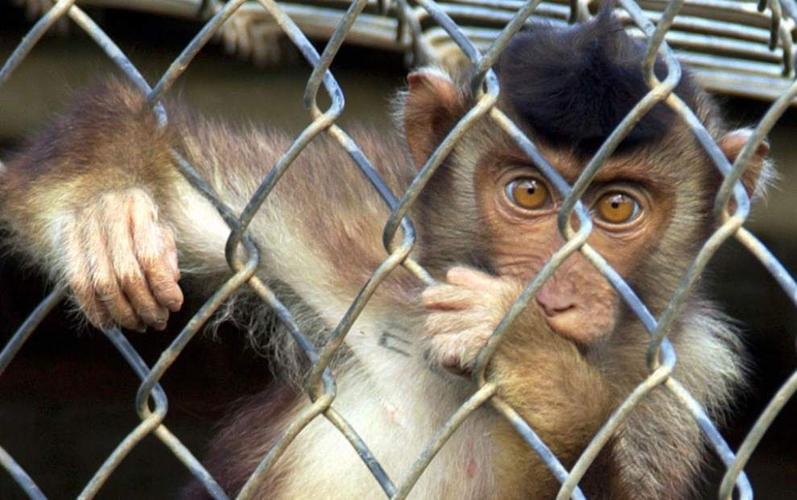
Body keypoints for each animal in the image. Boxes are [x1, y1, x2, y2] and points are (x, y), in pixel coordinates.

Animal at [0, 12, 772, 499]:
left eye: (616, 209)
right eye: (526, 192)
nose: (555, 292)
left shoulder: (679, 379)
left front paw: (539, 365)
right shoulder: (357, 227)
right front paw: (104, 207)